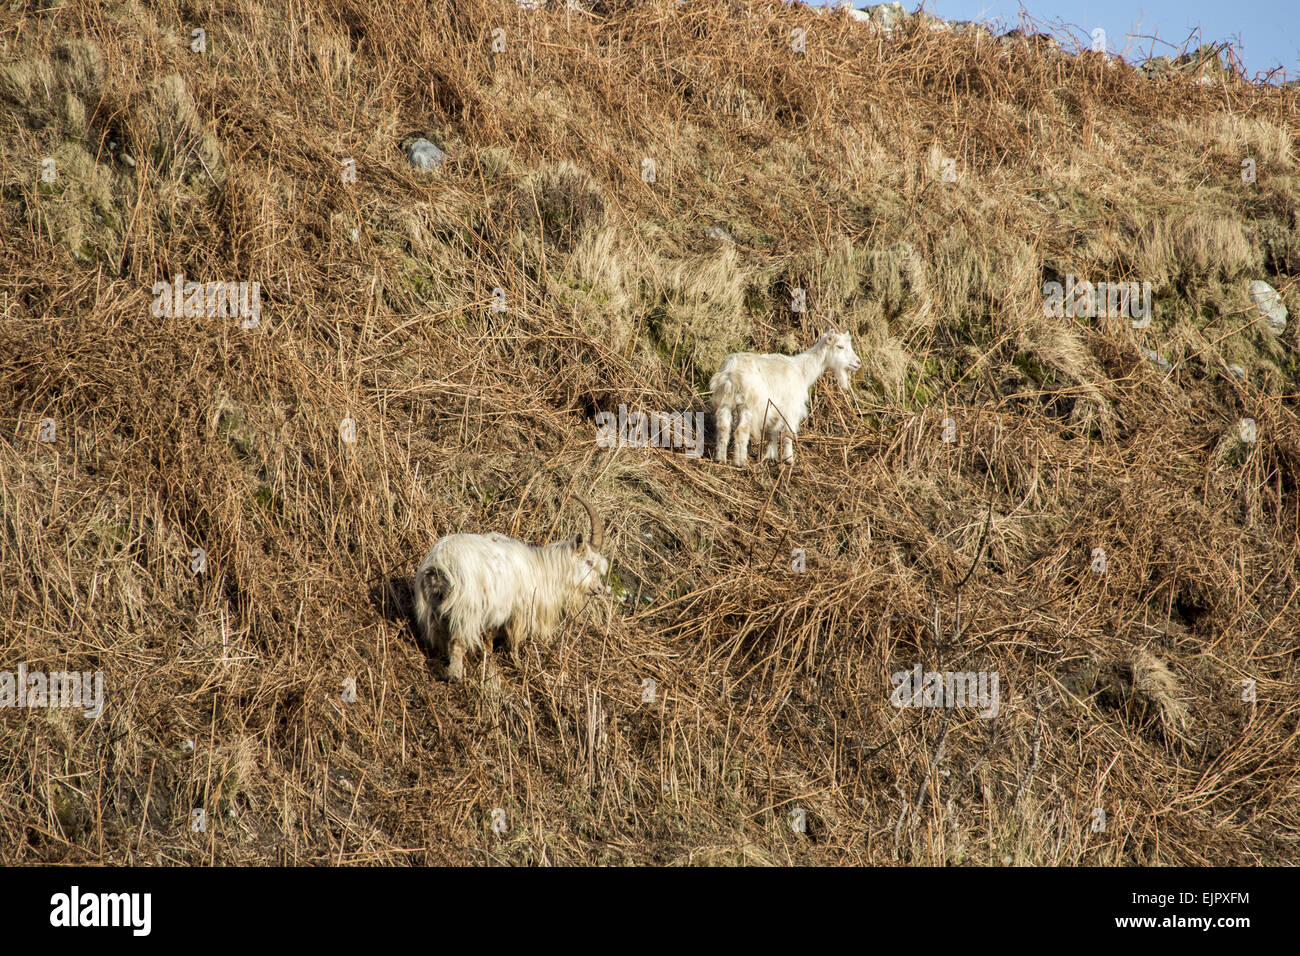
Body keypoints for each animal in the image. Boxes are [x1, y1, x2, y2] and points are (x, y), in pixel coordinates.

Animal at [413, 495, 609, 682]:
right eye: (589, 562)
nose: (598, 588)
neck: (541, 569)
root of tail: (440, 562)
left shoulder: (497, 612)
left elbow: (490, 637)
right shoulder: (519, 612)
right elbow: (514, 640)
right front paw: (518, 665)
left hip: (431, 608)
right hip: (466, 610)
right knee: (457, 642)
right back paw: (454, 675)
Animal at [710, 330, 862, 465]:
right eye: (840, 346)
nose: (858, 363)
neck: (803, 371)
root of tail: (731, 372)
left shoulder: (775, 409)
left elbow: (772, 432)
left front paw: (771, 456)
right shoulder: (792, 408)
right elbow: (789, 433)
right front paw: (789, 460)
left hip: (725, 401)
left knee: (723, 427)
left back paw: (720, 459)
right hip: (747, 405)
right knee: (741, 430)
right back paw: (740, 462)